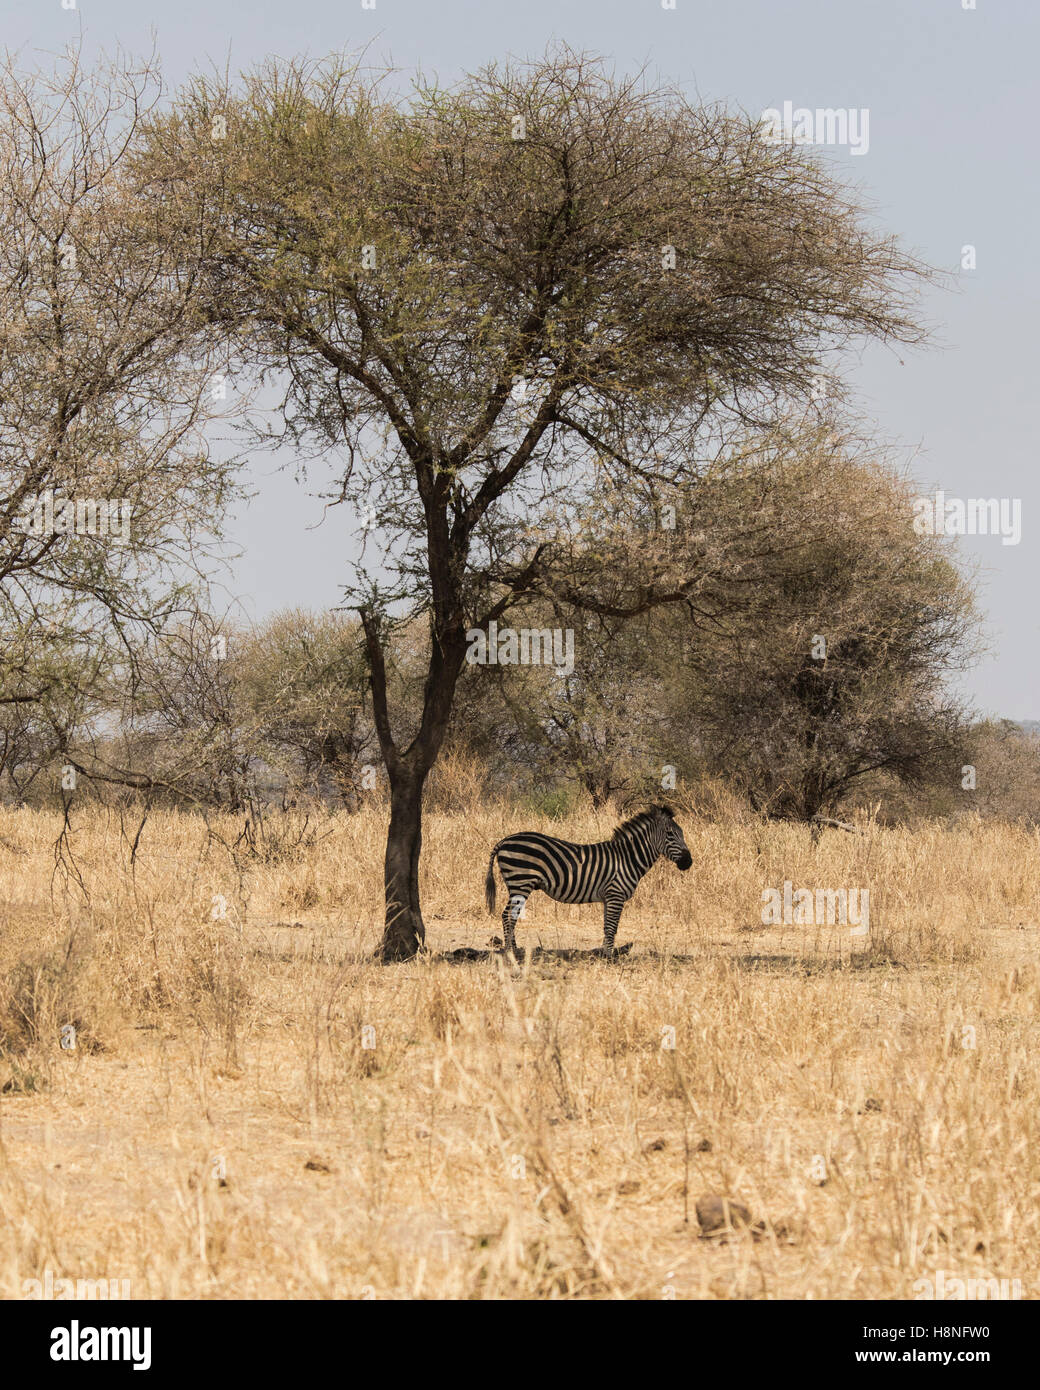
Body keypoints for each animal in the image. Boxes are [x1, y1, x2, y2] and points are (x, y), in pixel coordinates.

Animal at [484, 804, 693, 956]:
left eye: (682, 833)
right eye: (670, 834)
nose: (688, 862)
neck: (628, 858)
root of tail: (504, 840)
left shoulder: (609, 897)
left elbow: (607, 926)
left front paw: (604, 953)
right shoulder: (616, 895)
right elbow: (612, 927)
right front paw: (609, 957)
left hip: (516, 884)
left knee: (510, 915)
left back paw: (516, 949)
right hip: (520, 882)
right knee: (507, 915)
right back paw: (510, 952)